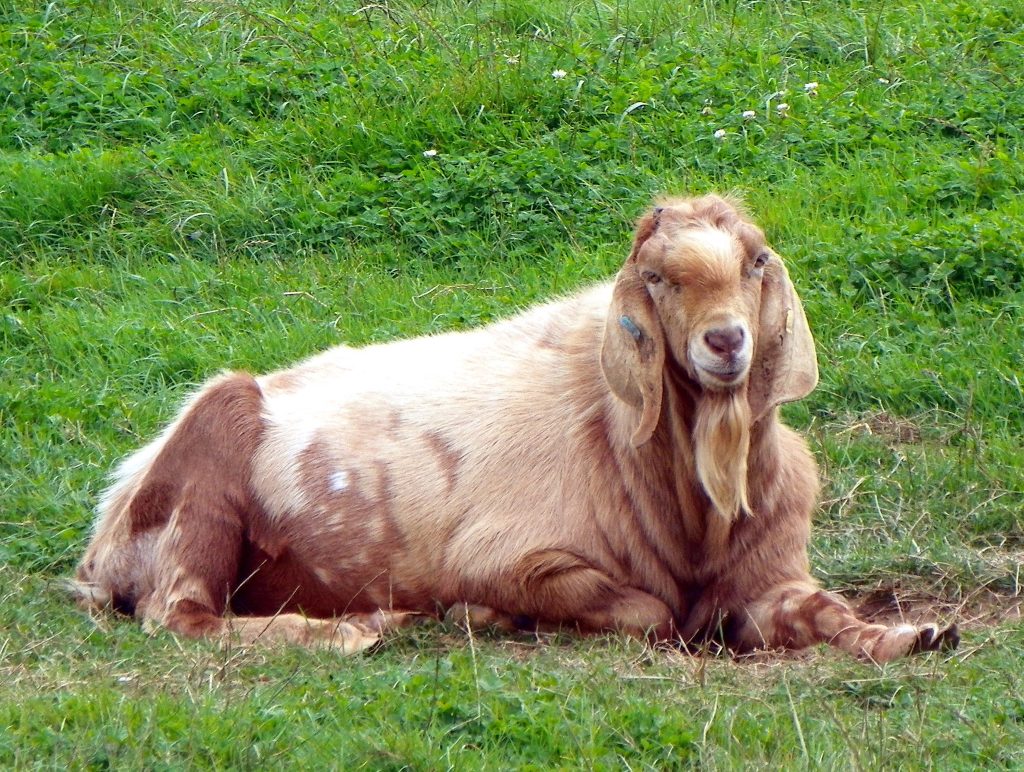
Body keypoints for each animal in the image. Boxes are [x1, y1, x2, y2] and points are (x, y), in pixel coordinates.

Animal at [72, 194, 959, 661]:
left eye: (757, 263)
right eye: (657, 278)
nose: (725, 341)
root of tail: (108, 525)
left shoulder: (769, 574)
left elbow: (823, 612)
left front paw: (916, 633)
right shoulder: (505, 554)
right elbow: (647, 612)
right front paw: (487, 616)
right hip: (211, 446)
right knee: (180, 615)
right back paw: (363, 626)